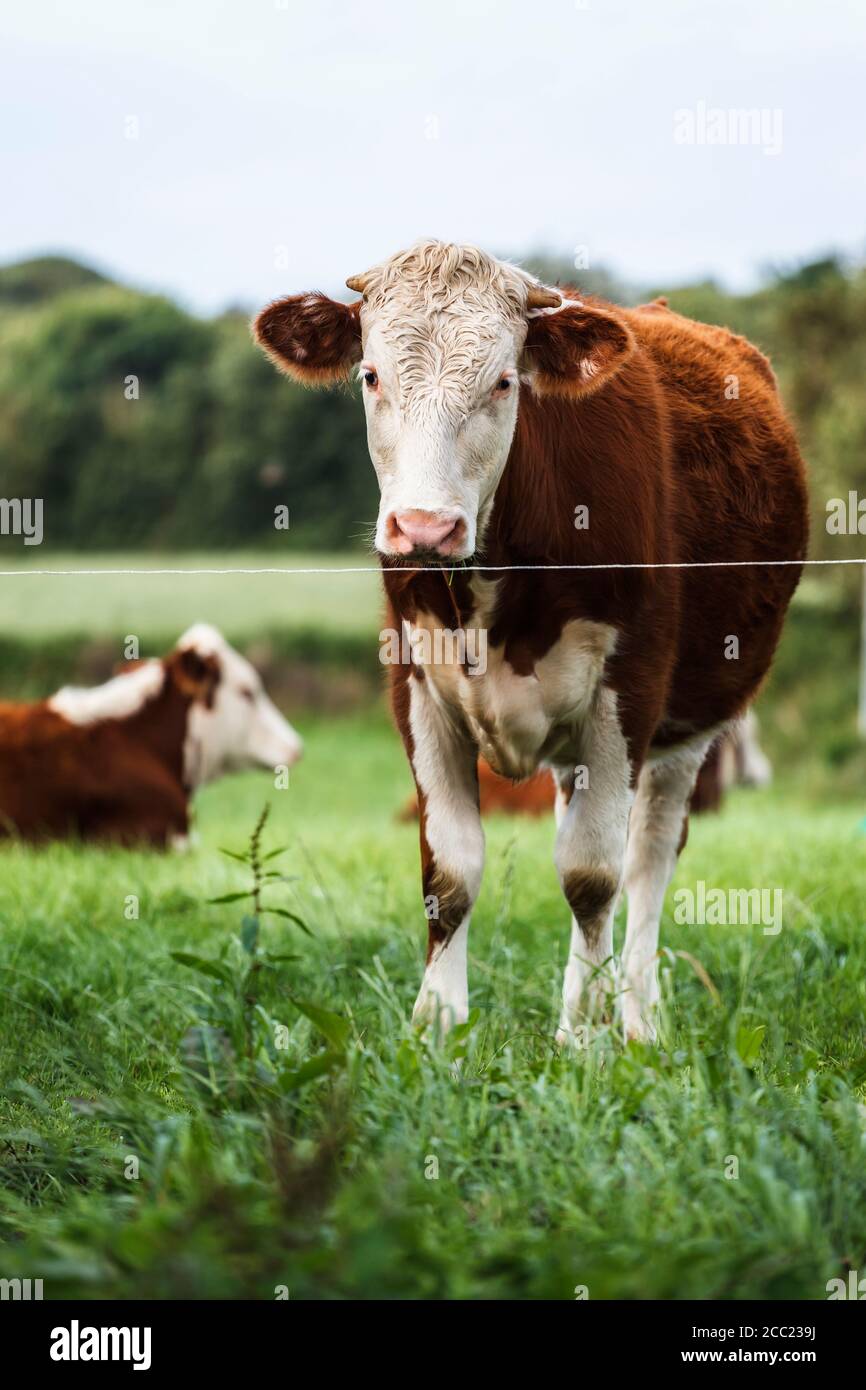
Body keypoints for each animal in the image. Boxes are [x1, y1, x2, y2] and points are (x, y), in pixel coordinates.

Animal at [254, 240, 808, 1044]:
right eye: (371, 374)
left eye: (504, 380)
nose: (424, 527)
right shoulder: (416, 692)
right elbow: (449, 870)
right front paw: (436, 1027)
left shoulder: (628, 693)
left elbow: (592, 874)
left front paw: (584, 1034)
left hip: (691, 730)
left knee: (648, 861)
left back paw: (637, 1016)